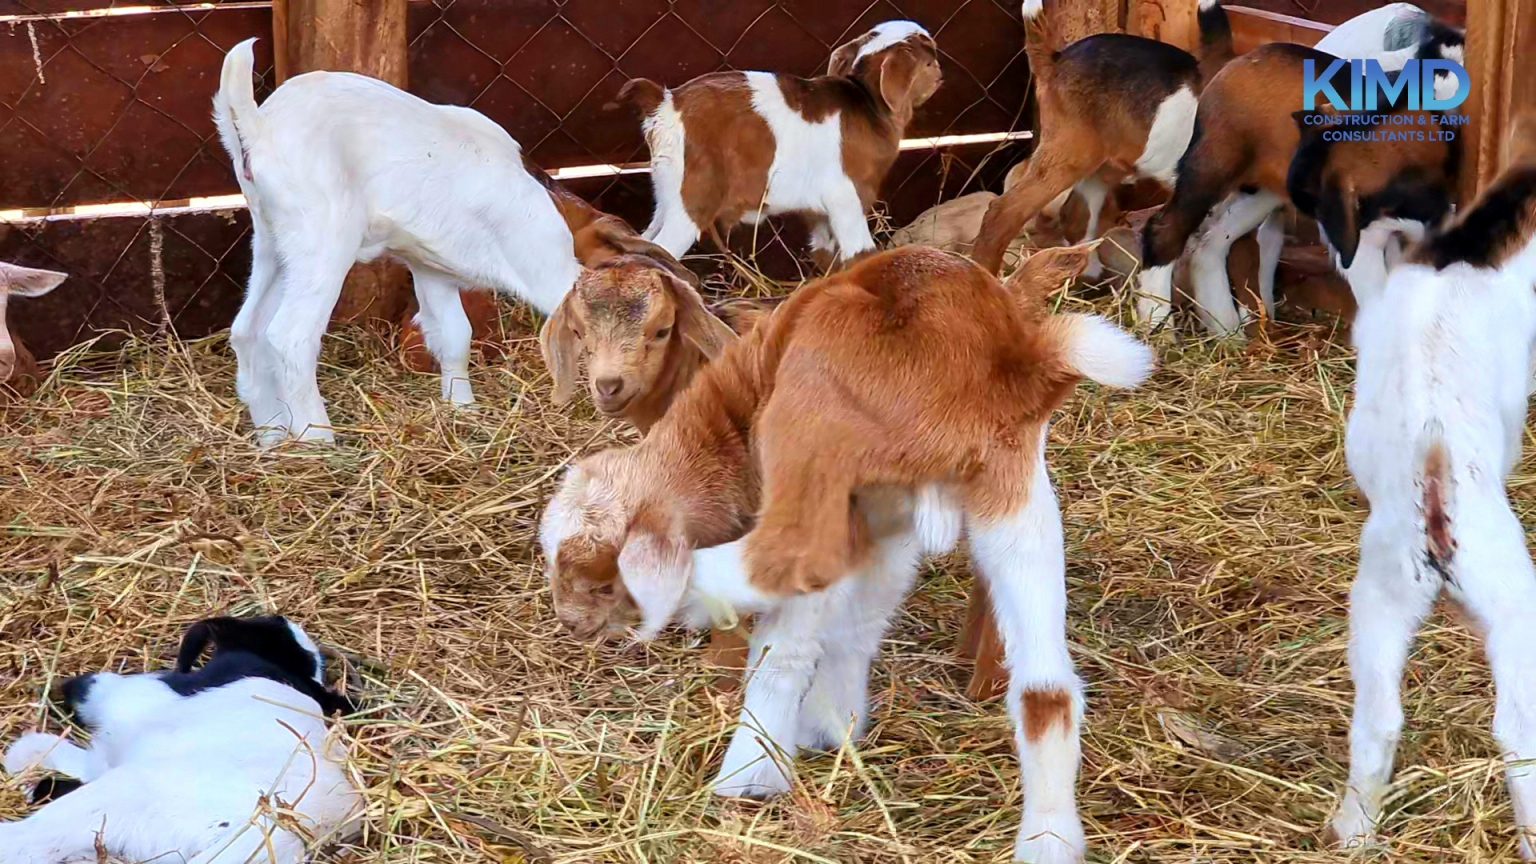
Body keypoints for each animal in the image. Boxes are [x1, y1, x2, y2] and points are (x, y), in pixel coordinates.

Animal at [213, 38, 580, 446]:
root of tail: (258, 127)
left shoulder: (431, 268)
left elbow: (454, 335)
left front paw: (462, 410)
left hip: (272, 241)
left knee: (247, 330)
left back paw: (273, 438)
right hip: (323, 239)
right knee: (290, 337)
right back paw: (319, 442)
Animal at [541, 244, 1154, 864]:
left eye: (662, 330)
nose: (572, 621)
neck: (735, 409)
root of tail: (1007, 371)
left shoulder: (836, 494)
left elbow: (788, 644)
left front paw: (761, 766)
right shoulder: (884, 522)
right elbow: (855, 624)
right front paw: (832, 725)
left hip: (809, 428)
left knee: (788, 557)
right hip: (1016, 496)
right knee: (1046, 690)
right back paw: (1048, 839)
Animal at [618, 21, 942, 269]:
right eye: (929, 58)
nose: (940, 72)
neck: (866, 101)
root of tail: (666, 102)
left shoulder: (818, 211)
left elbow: (824, 254)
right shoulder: (845, 197)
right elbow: (860, 253)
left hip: (666, 190)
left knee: (645, 240)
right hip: (693, 198)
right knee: (663, 249)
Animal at [1134, 42, 1459, 336]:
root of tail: (1242, 60)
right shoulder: (1364, 241)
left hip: (1261, 191)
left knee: (1211, 242)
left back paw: (1227, 332)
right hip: (1212, 164)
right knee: (1165, 231)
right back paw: (1158, 327)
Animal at [1328, 114, 1536, 859]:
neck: (1469, 252)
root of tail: (1438, 495)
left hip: (1391, 601)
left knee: (1380, 718)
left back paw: (1352, 830)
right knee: (1516, 735)